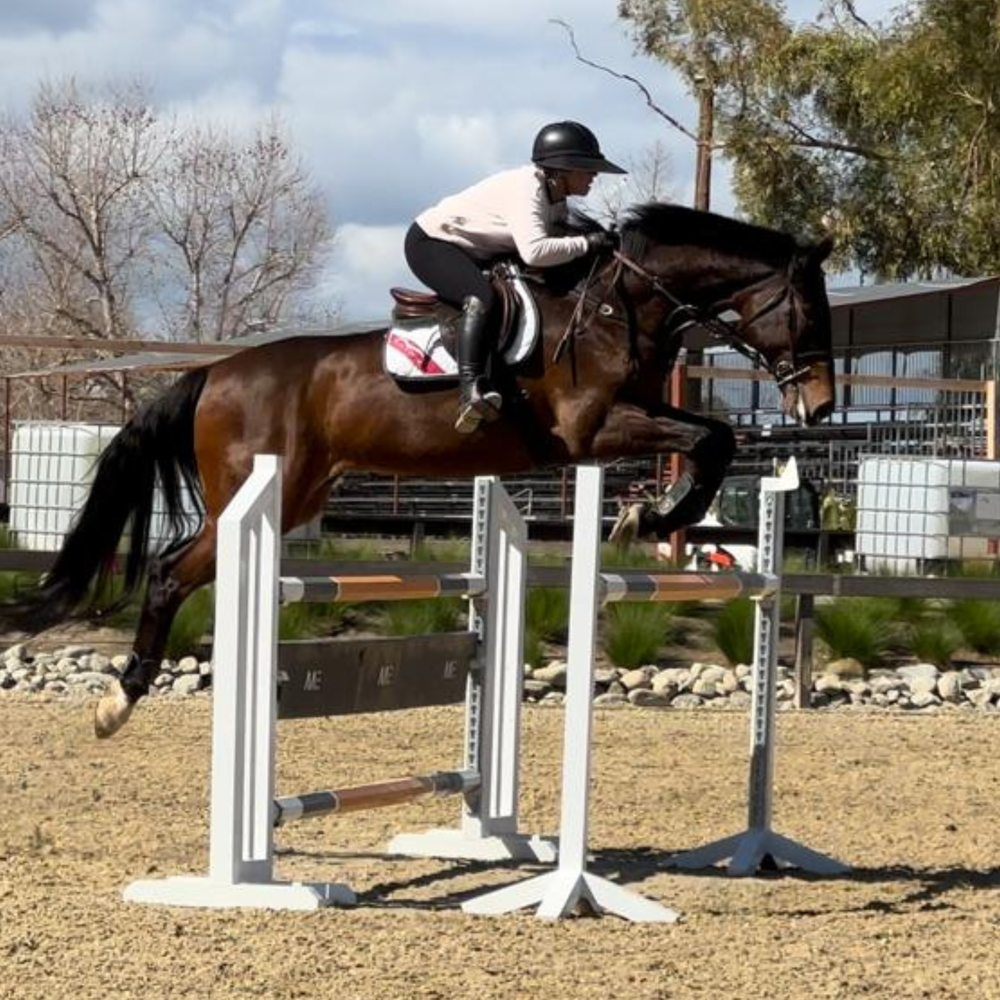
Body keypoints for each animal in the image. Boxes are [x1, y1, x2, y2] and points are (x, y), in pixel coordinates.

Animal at [0, 203, 835, 737]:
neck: (616, 304)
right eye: (805, 312)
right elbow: (710, 439)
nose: (823, 406)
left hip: (299, 490)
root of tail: (214, 375)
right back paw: (119, 701)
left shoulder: (629, 415)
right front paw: (652, 515)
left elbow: (713, 436)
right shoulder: (590, 430)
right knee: (172, 572)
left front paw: (653, 513)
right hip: (253, 491)